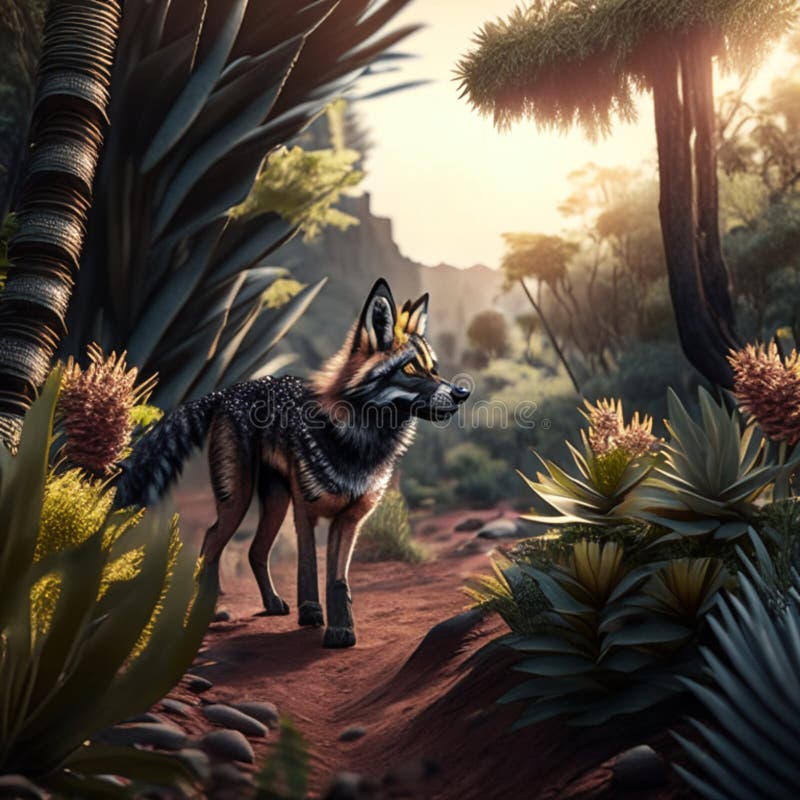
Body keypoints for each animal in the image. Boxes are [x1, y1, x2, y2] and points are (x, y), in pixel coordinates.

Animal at [114, 279, 470, 647]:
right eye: (410, 368)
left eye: (434, 369)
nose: (462, 393)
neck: (358, 443)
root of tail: (226, 392)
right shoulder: (305, 510)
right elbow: (308, 565)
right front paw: (312, 613)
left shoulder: (350, 519)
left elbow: (337, 580)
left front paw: (341, 630)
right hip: (240, 499)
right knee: (212, 541)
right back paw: (205, 608)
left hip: (275, 502)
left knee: (255, 551)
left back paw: (271, 604)